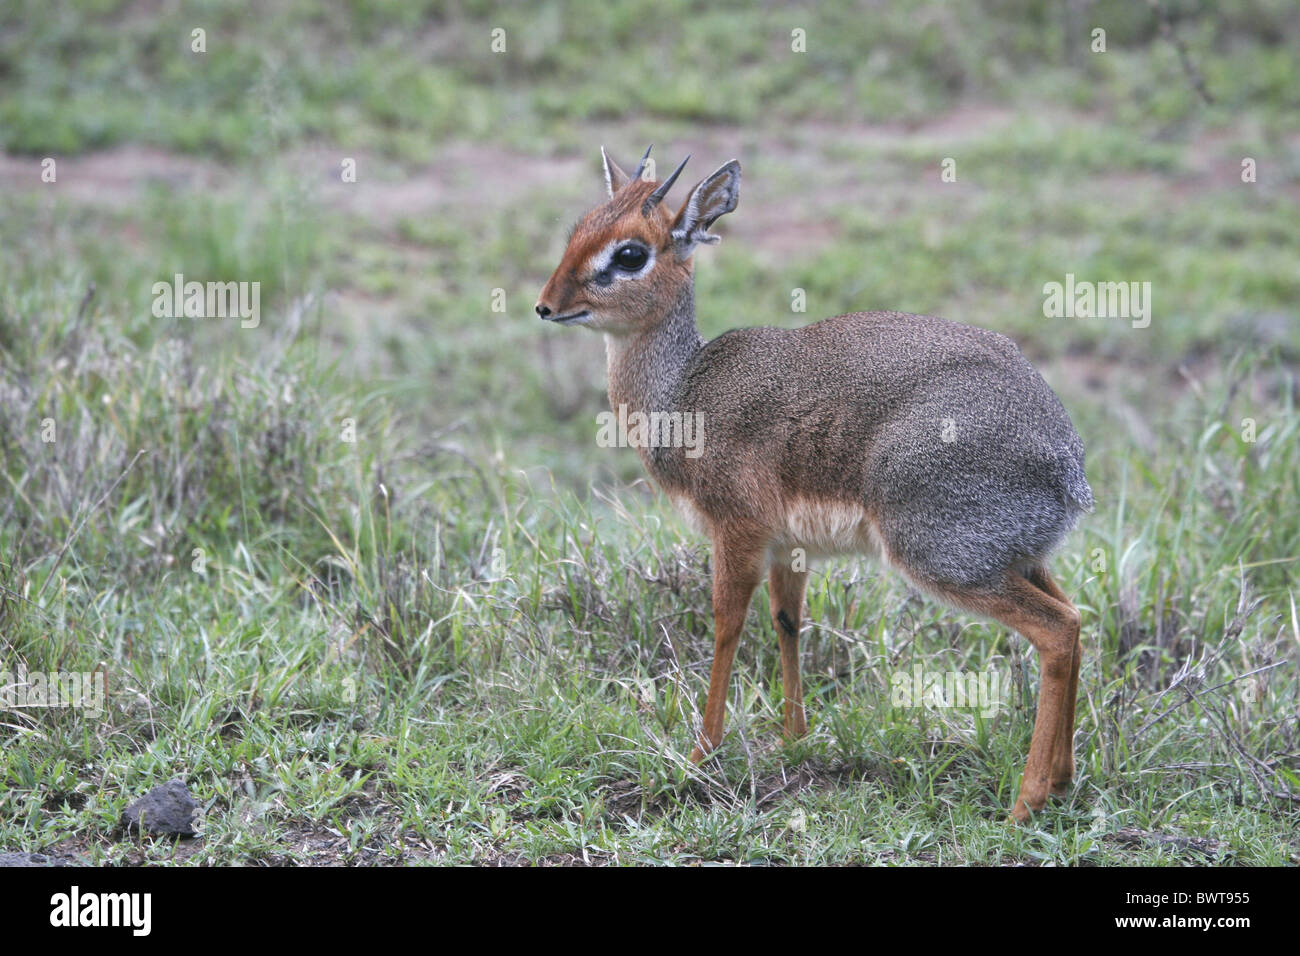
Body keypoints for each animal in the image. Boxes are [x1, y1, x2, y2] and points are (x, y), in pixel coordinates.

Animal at [535, 146, 1093, 822]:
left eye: (630, 254)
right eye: (581, 228)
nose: (546, 304)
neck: (685, 391)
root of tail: (1066, 462)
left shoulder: (737, 532)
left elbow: (726, 624)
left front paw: (701, 753)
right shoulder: (787, 547)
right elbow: (786, 621)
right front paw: (793, 738)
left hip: (944, 560)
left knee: (1056, 632)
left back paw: (1025, 803)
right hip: (1018, 557)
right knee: (1075, 618)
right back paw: (1061, 780)